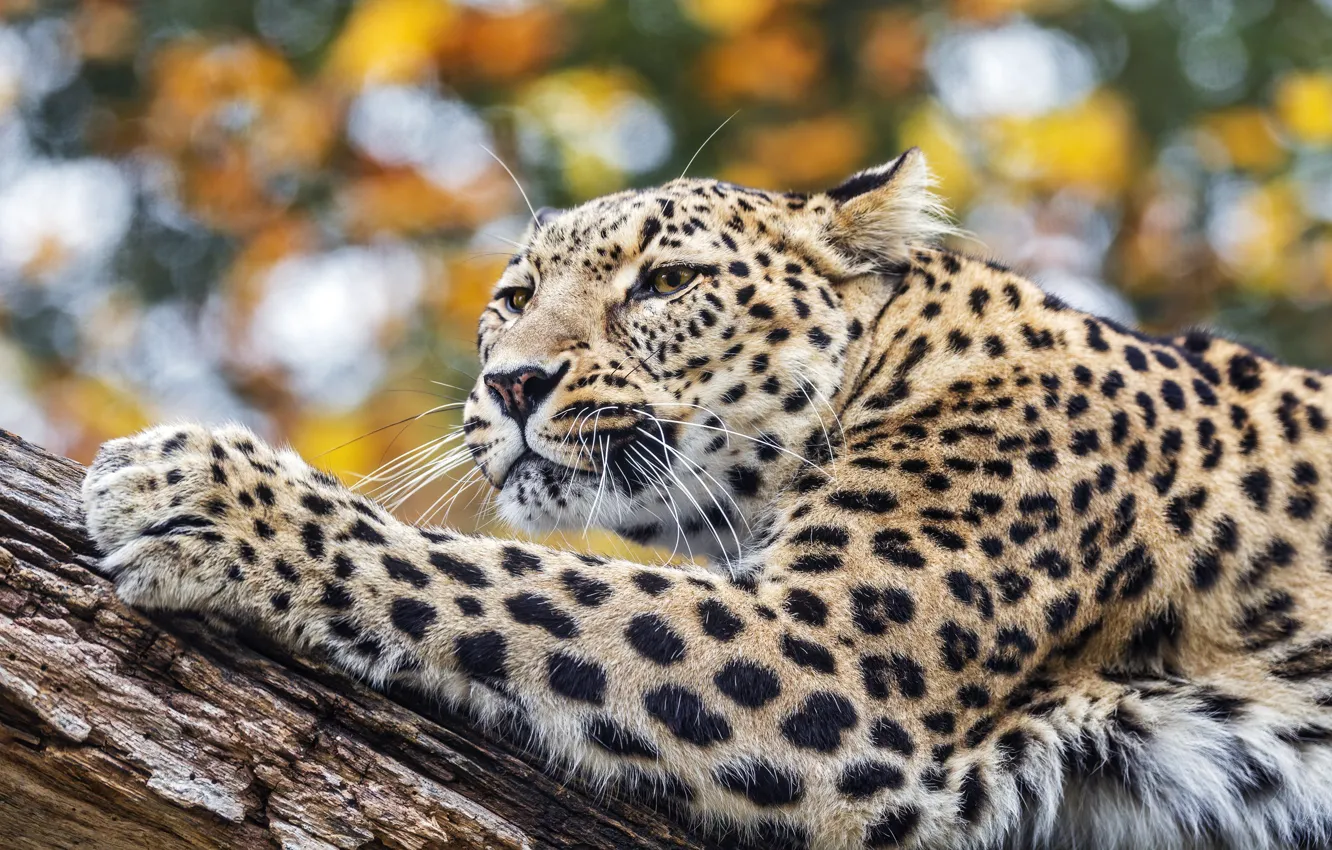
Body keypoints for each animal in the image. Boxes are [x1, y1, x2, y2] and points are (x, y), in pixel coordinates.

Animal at [82, 148, 1332, 850]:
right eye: (514, 297)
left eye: (668, 282)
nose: (513, 382)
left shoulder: (828, 655)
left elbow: (497, 575)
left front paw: (204, 490)